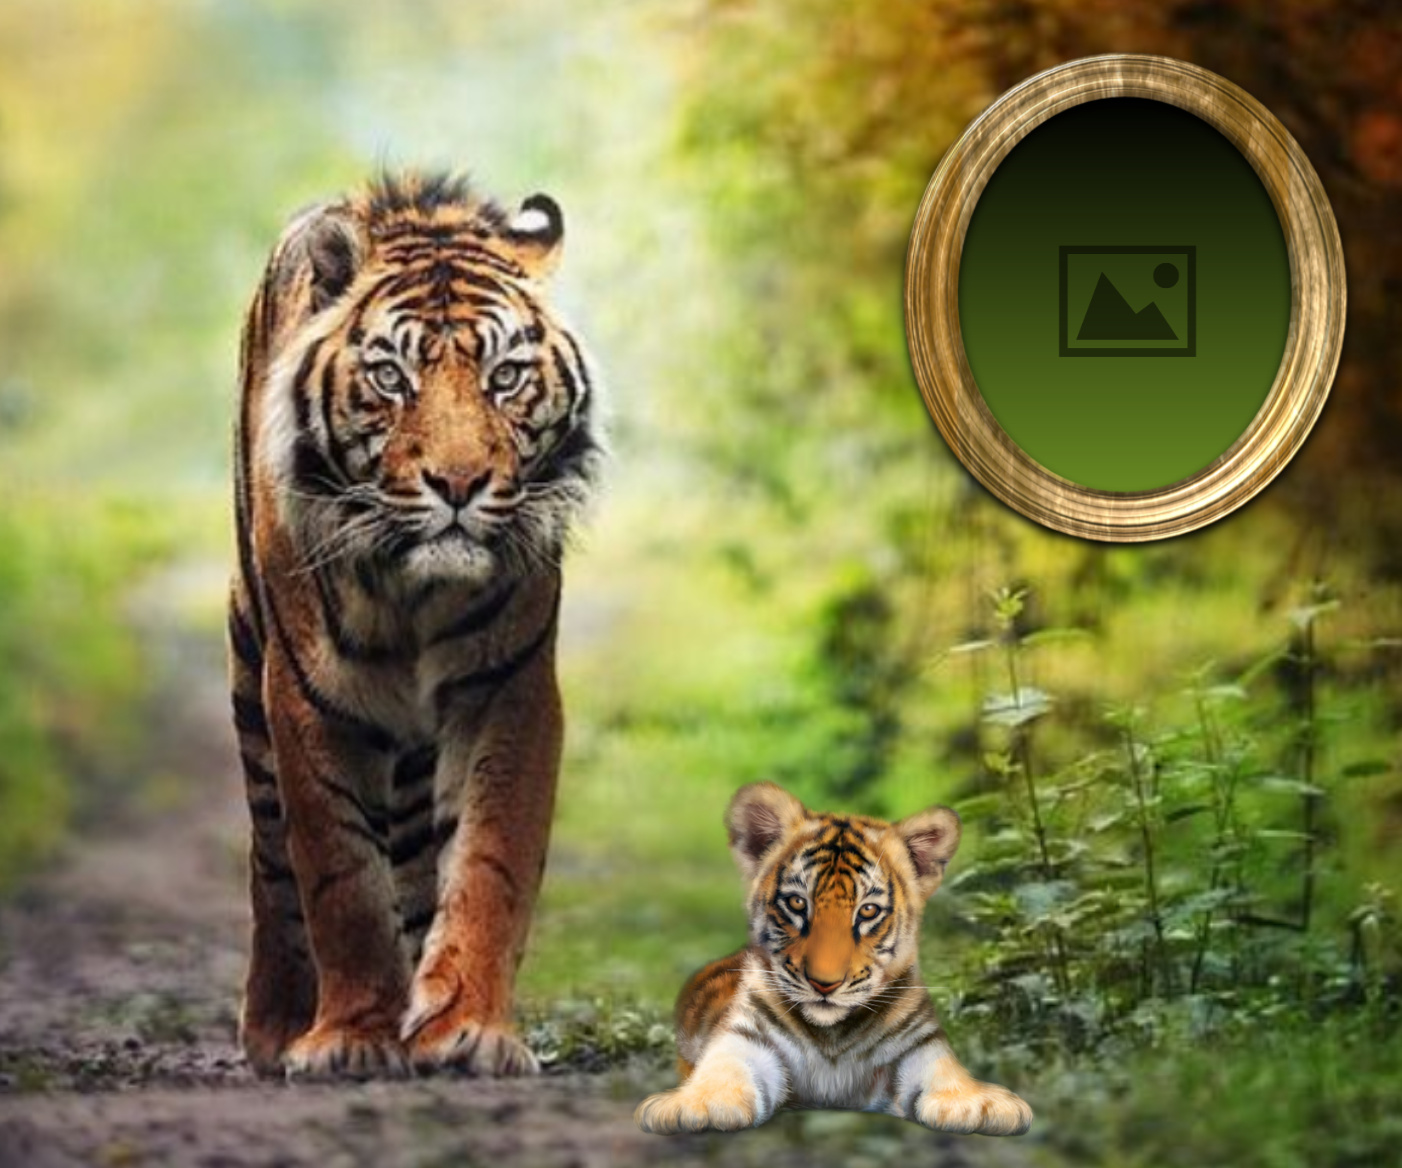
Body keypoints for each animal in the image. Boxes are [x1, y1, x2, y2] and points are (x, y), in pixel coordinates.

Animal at [228, 171, 602, 1079]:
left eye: (506, 376)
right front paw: (352, 1037)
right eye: (391, 376)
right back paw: (275, 1024)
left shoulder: (509, 690)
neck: (413, 592)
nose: (459, 484)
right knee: (270, 857)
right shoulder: (309, 696)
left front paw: (467, 1025)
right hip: (248, 668)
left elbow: (488, 861)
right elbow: (340, 876)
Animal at [635, 782, 1033, 1135]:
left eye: (868, 910)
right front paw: (695, 1104)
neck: (833, 1037)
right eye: (797, 903)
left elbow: (946, 1071)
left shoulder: (920, 1044)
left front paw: (981, 1103)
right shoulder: (747, 1036)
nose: (824, 984)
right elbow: (724, 1068)